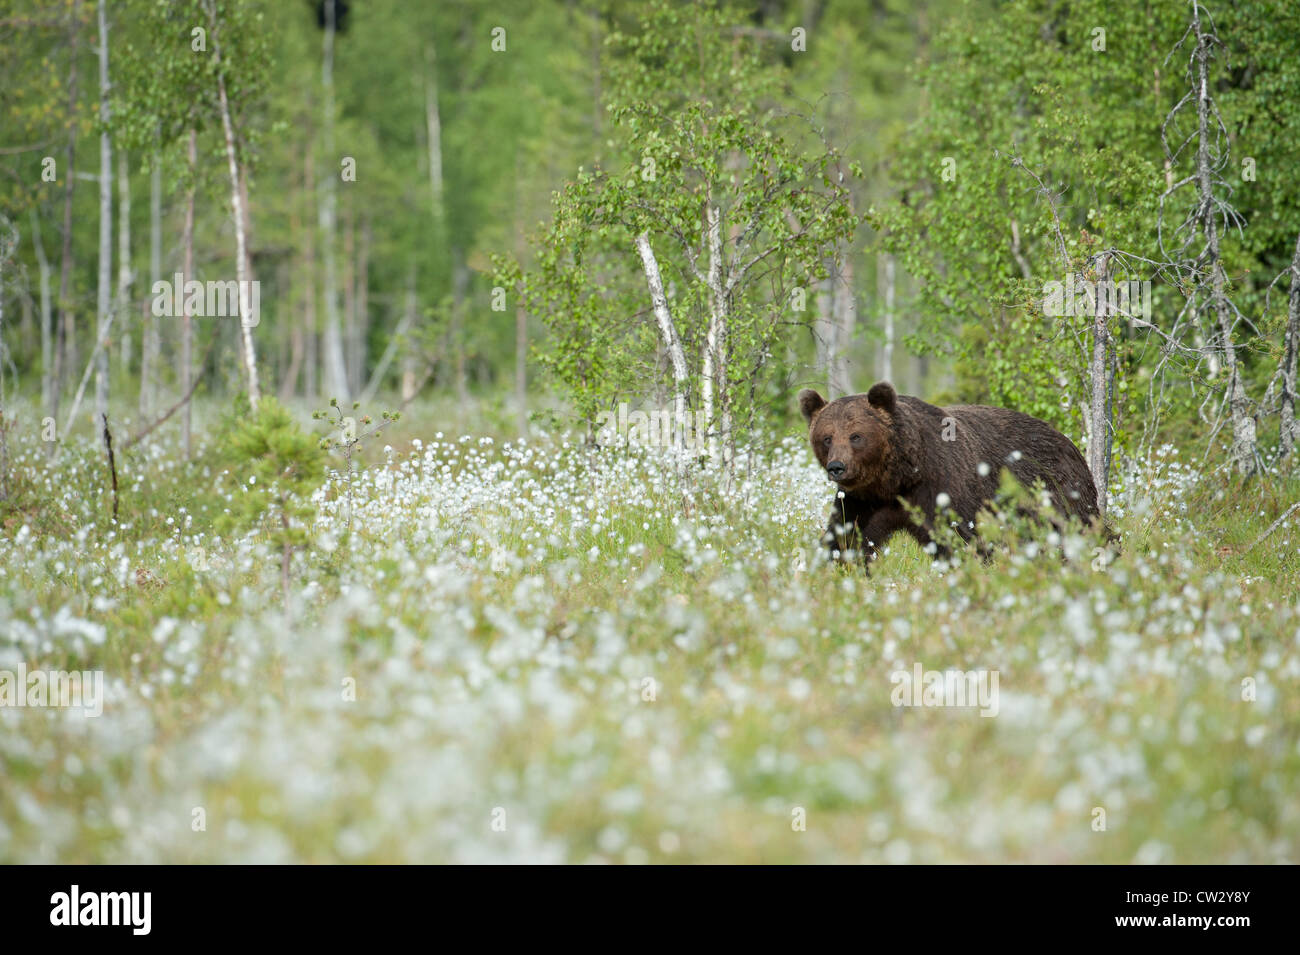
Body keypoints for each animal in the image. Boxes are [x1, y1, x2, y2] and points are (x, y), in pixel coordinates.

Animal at [798, 381, 1100, 570]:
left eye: (856, 436)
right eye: (826, 437)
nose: (837, 467)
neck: (900, 479)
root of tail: (1070, 442)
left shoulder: (944, 487)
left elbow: (963, 538)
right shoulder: (865, 501)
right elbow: (846, 537)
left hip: (1057, 492)